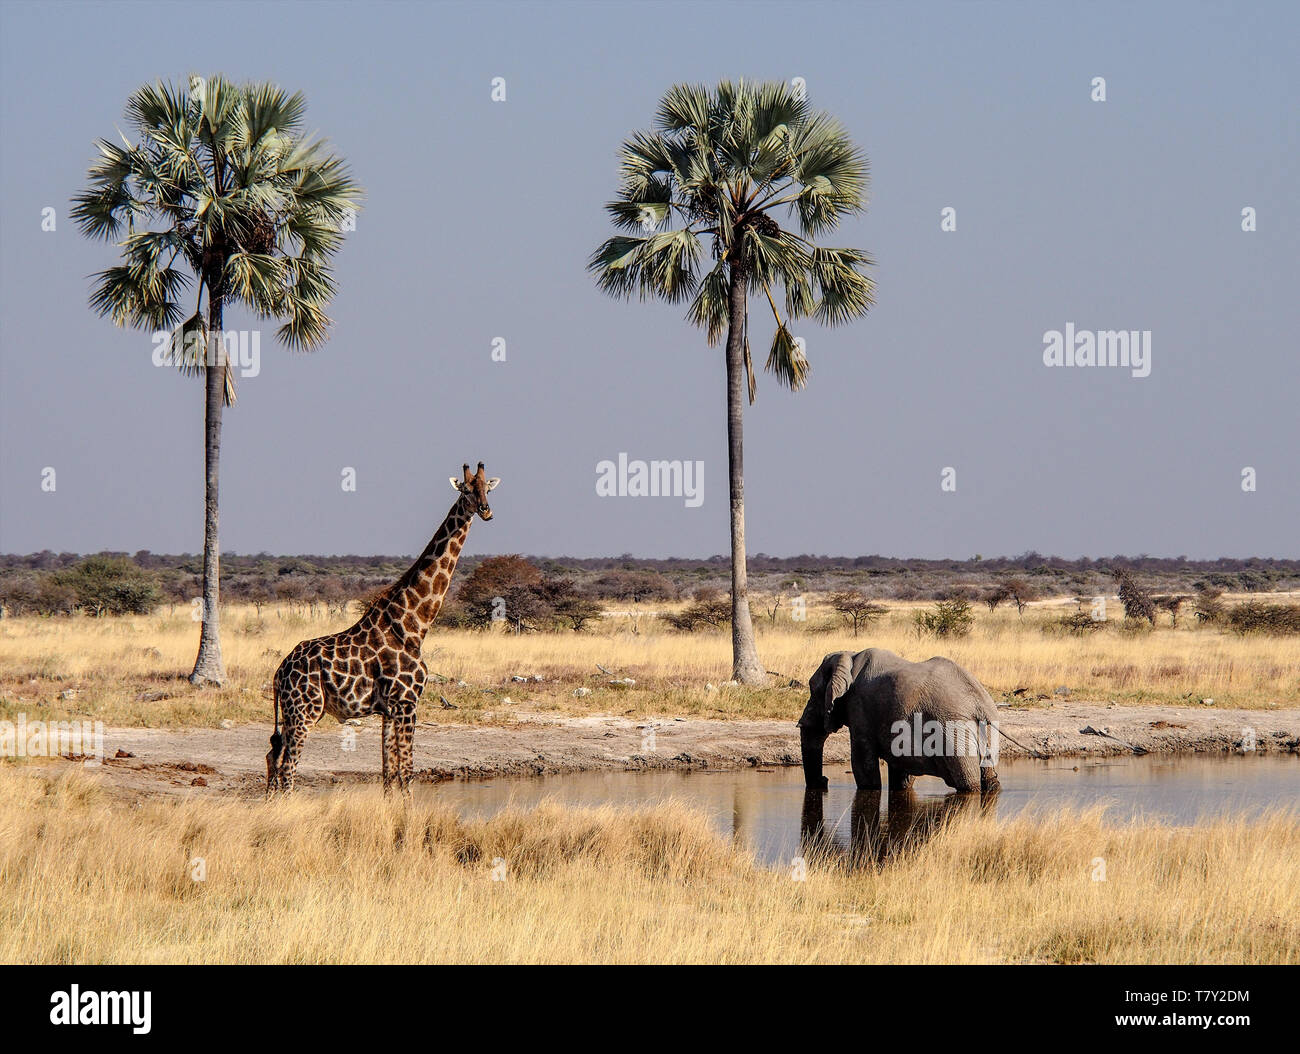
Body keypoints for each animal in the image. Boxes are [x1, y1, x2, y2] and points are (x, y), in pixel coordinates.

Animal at [266, 462, 499, 796]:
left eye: (487, 489)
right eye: (466, 490)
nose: (486, 511)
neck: (414, 624)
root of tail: (279, 672)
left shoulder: (389, 709)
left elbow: (389, 774)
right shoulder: (407, 701)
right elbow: (407, 772)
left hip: (292, 711)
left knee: (273, 754)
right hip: (304, 709)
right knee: (288, 767)